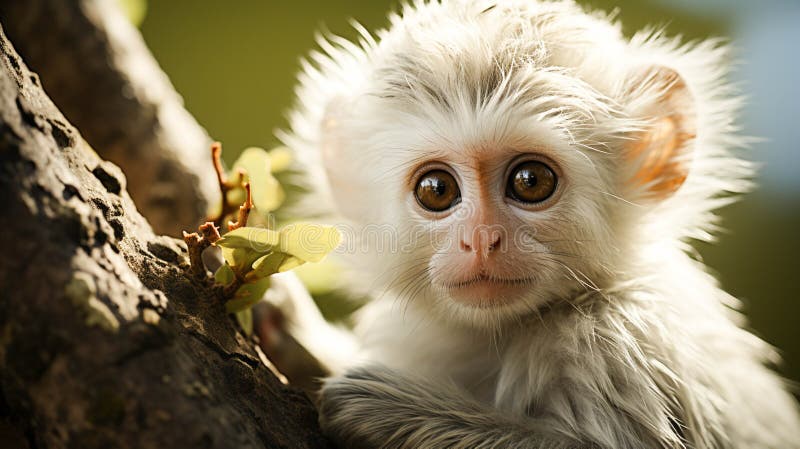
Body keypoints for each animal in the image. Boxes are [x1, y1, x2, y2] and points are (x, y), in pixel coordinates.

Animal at [261, 0, 800, 447]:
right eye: (436, 190)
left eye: (531, 181)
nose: (481, 239)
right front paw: (305, 340)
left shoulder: (622, 341)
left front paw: (393, 409)